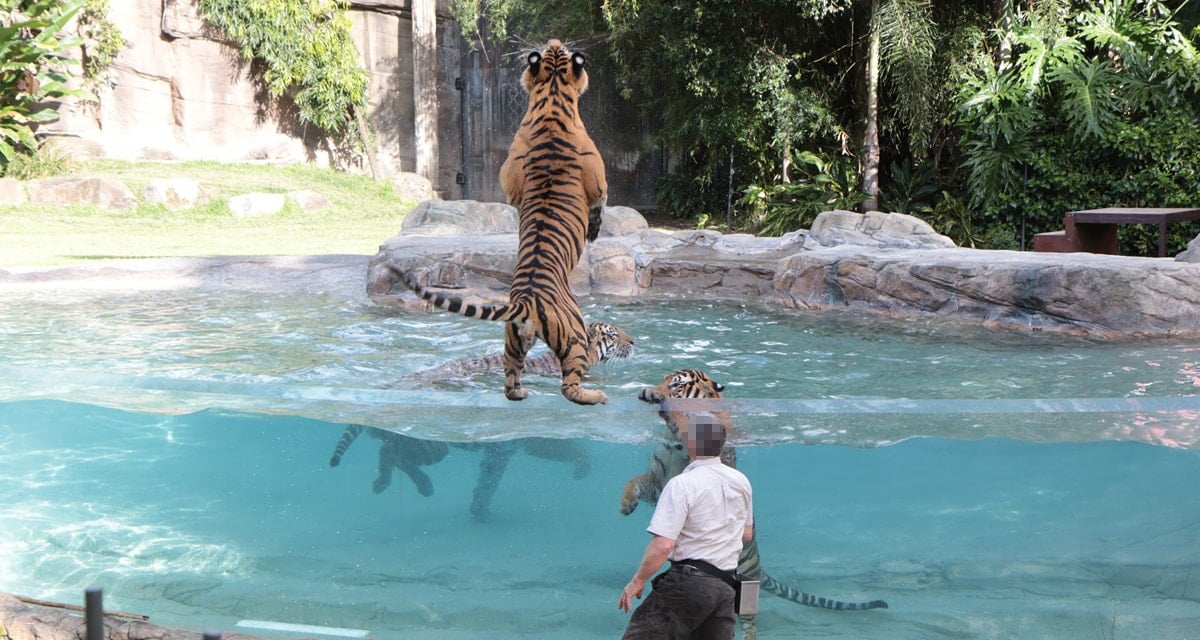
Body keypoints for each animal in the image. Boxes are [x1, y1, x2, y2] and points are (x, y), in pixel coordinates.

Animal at [393, 38, 608, 406]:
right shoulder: (597, 173)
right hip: (576, 336)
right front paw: (595, 228)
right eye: (559, 49)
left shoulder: (510, 172)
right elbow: (601, 199)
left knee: (510, 378)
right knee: (569, 385)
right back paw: (596, 396)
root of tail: (526, 302)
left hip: (512, 339)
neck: (552, 95)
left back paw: (520, 393)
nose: (554, 41)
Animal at [624, 369, 888, 639]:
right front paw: (626, 505)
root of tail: (759, 563)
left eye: (677, 385)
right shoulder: (658, 482)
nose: (654, 392)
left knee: (749, 621)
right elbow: (635, 482)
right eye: (664, 380)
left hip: (744, 582)